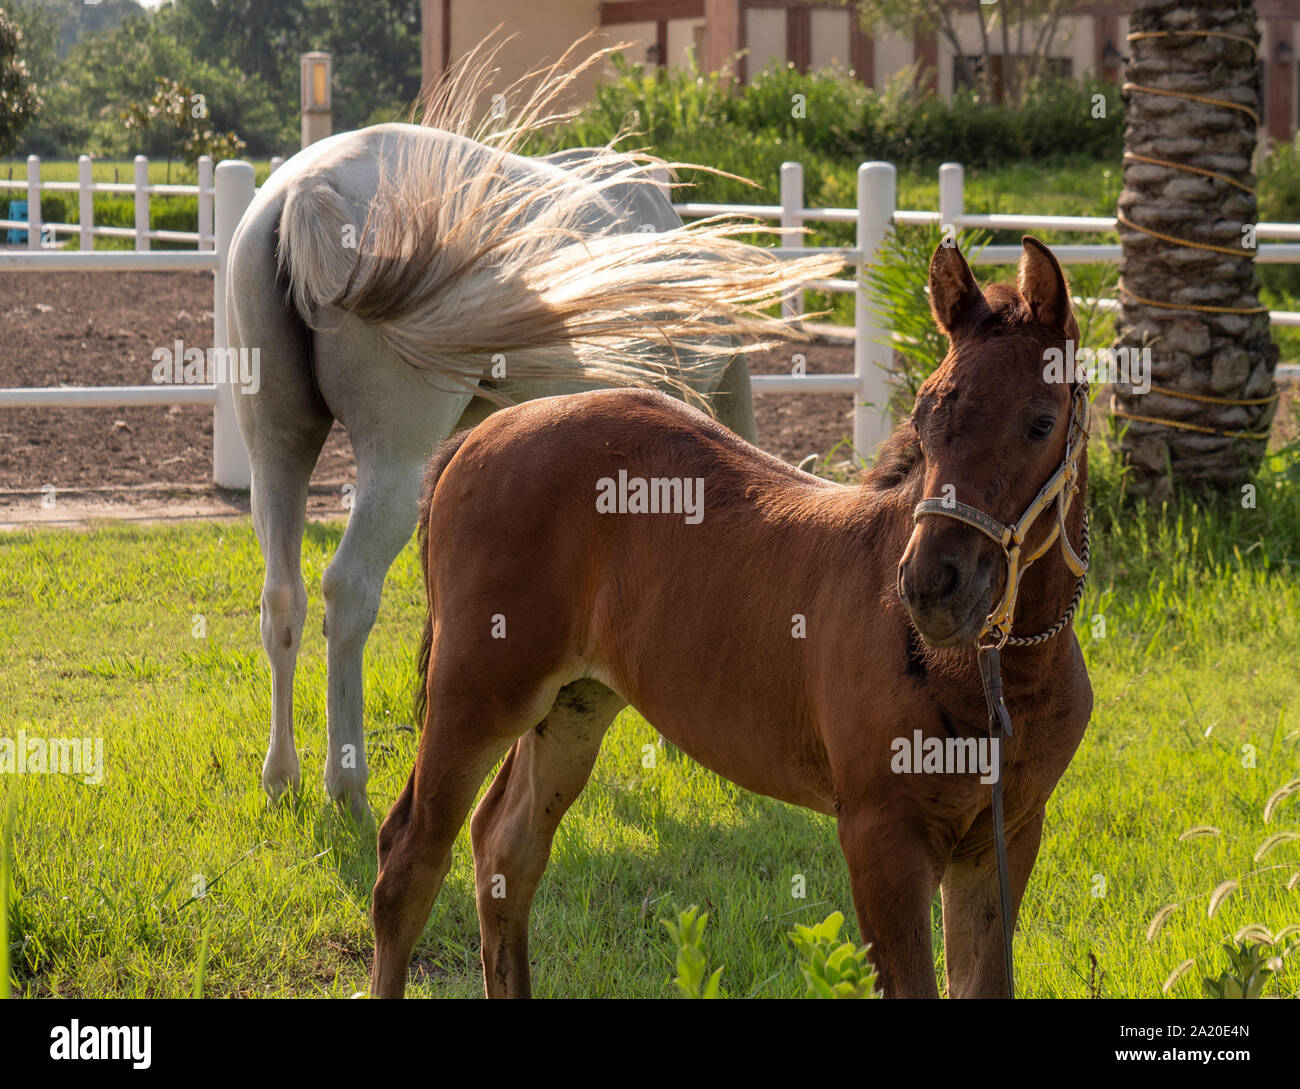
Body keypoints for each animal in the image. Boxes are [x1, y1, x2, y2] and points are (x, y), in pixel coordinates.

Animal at [225, 38, 839, 817]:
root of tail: (307, 189)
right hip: (392, 459)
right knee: (348, 594)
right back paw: (349, 785)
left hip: (278, 446)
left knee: (283, 598)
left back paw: (282, 777)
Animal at [369, 236, 1095, 999]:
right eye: (925, 416)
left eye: (1041, 422)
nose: (930, 586)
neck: (999, 675)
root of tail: (484, 431)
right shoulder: (882, 840)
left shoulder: (1005, 836)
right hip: (476, 693)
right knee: (409, 855)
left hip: (575, 704)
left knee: (505, 848)